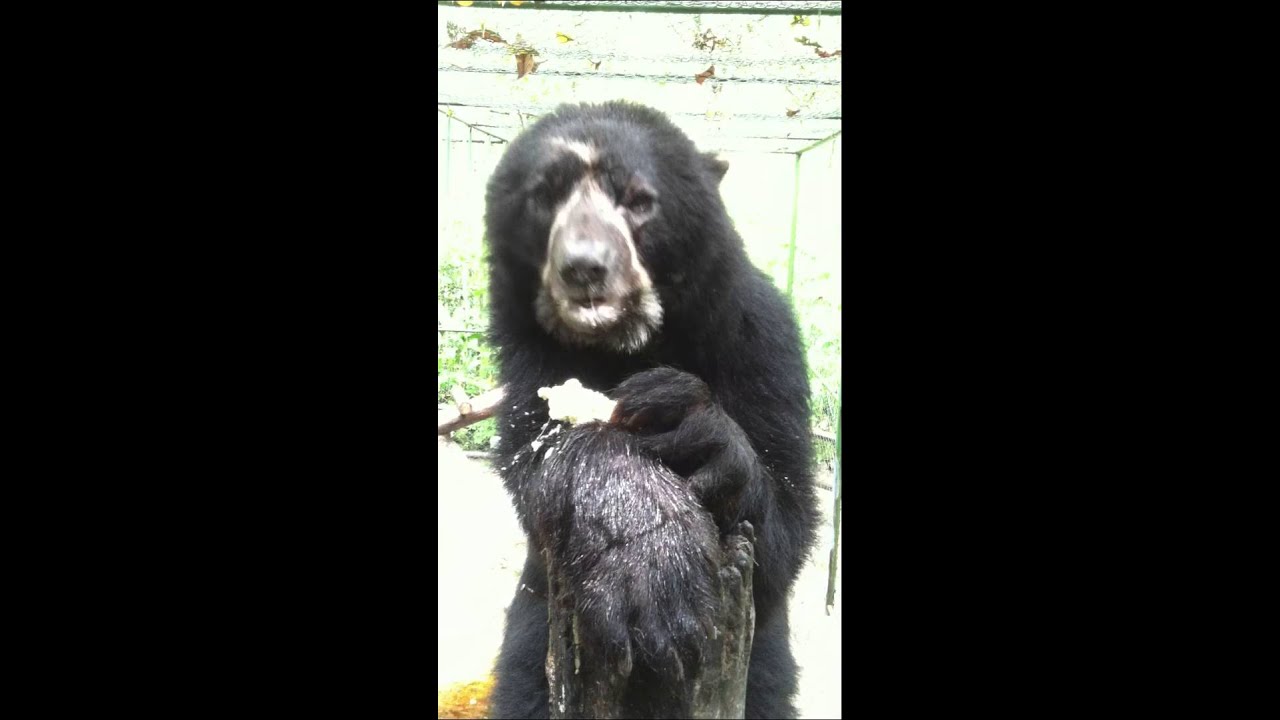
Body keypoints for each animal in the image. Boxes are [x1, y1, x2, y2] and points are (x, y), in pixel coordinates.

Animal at [482, 100, 820, 719]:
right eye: (545, 196)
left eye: (639, 200)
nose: (584, 268)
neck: (628, 347)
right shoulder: (524, 355)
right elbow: (538, 454)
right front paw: (652, 579)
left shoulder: (760, 341)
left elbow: (787, 523)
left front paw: (690, 423)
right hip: (534, 632)